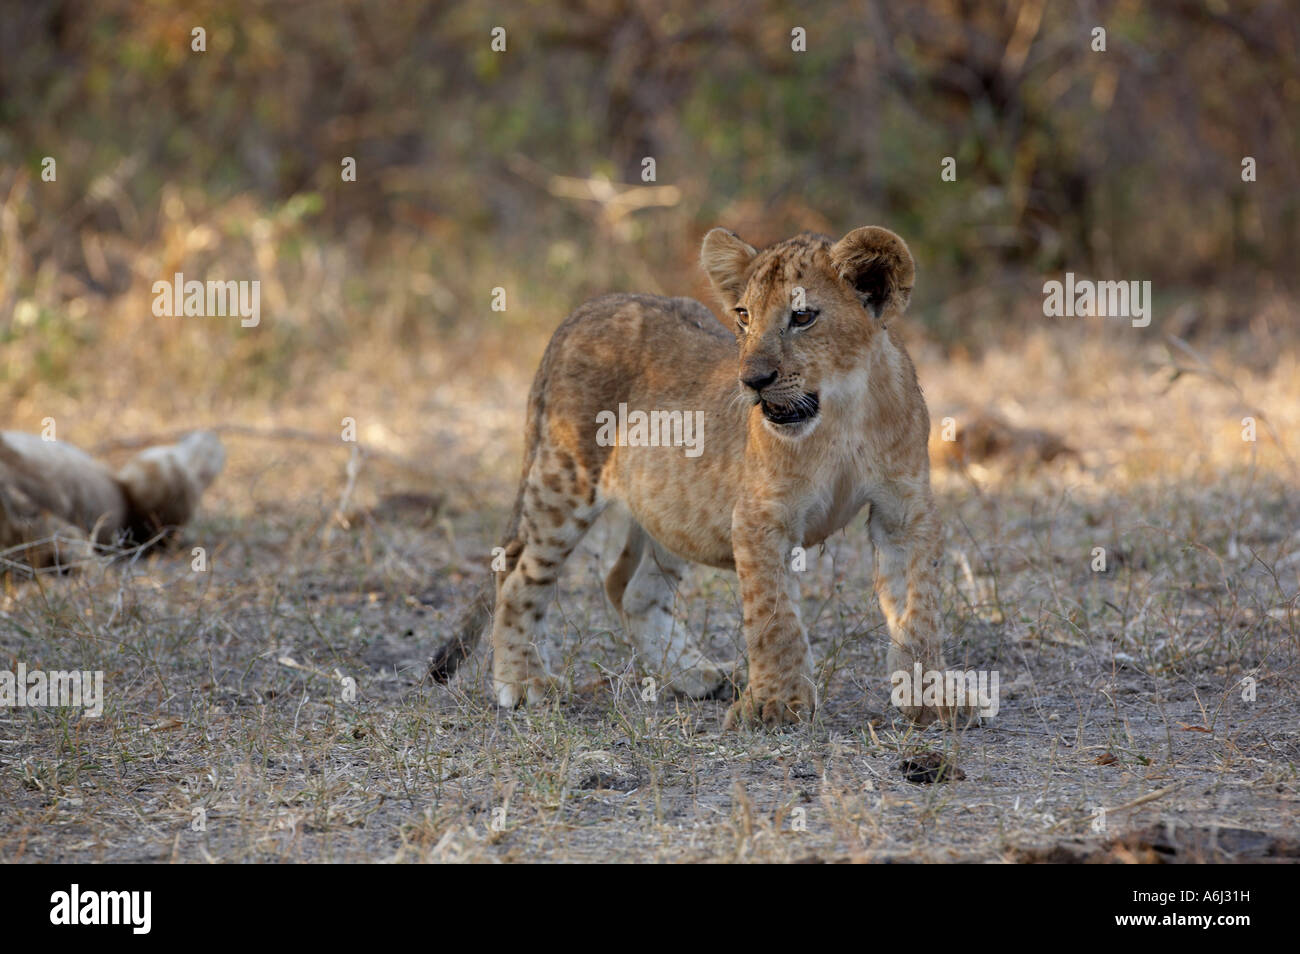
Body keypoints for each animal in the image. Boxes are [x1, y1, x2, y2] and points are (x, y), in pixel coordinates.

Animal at [430, 226, 950, 728]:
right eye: (743, 316)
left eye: (802, 317)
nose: (752, 381)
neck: (842, 415)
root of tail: (586, 308)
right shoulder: (760, 516)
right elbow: (774, 616)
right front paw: (775, 705)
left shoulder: (903, 510)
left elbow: (918, 607)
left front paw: (932, 698)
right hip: (566, 478)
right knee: (518, 575)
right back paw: (521, 683)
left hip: (674, 507)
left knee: (630, 589)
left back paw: (695, 674)